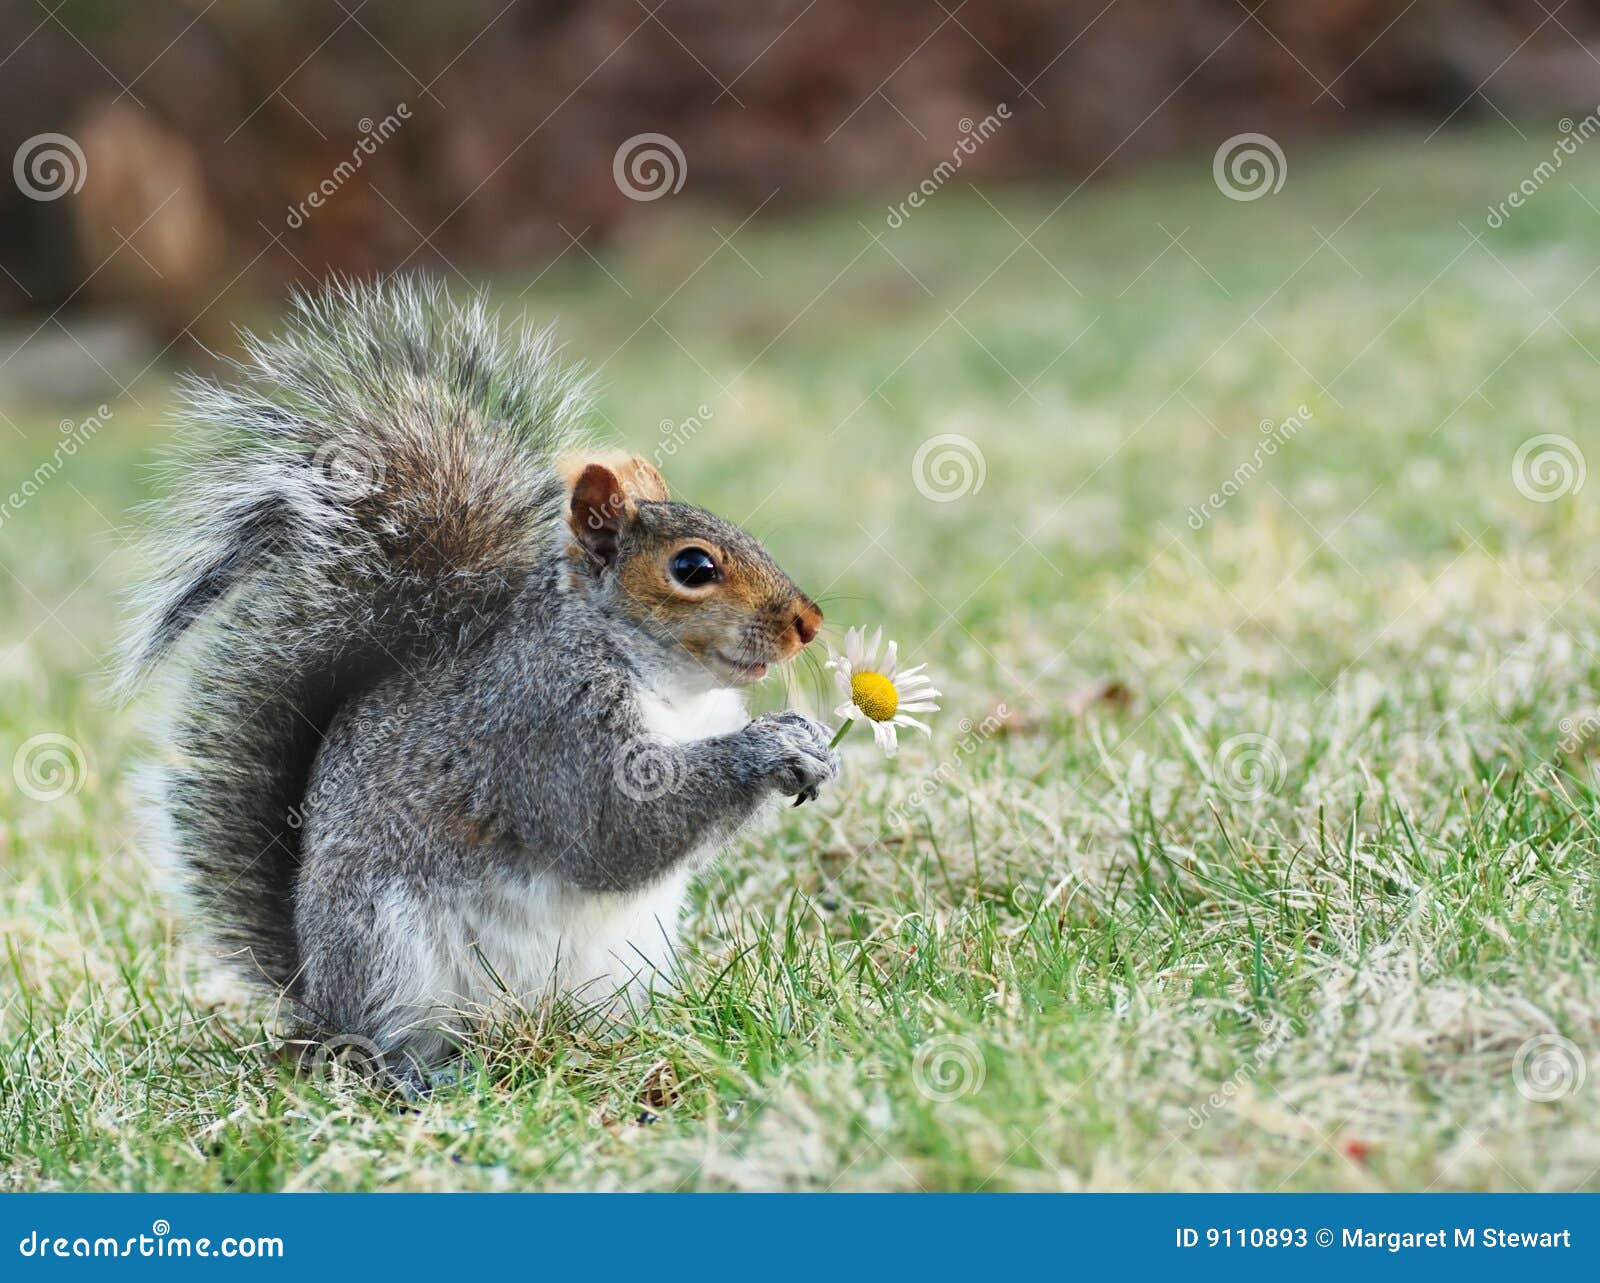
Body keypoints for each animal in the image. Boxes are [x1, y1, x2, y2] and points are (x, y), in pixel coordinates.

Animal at [119, 278, 839, 1079]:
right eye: (692, 567)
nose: (808, 623)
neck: (669, 686)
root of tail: (311, 996)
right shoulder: (545, 721)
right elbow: (611, 828)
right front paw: (768, 748)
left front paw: (810, 740)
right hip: (389, 948)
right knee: (380, 1042)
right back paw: (424, 1072)